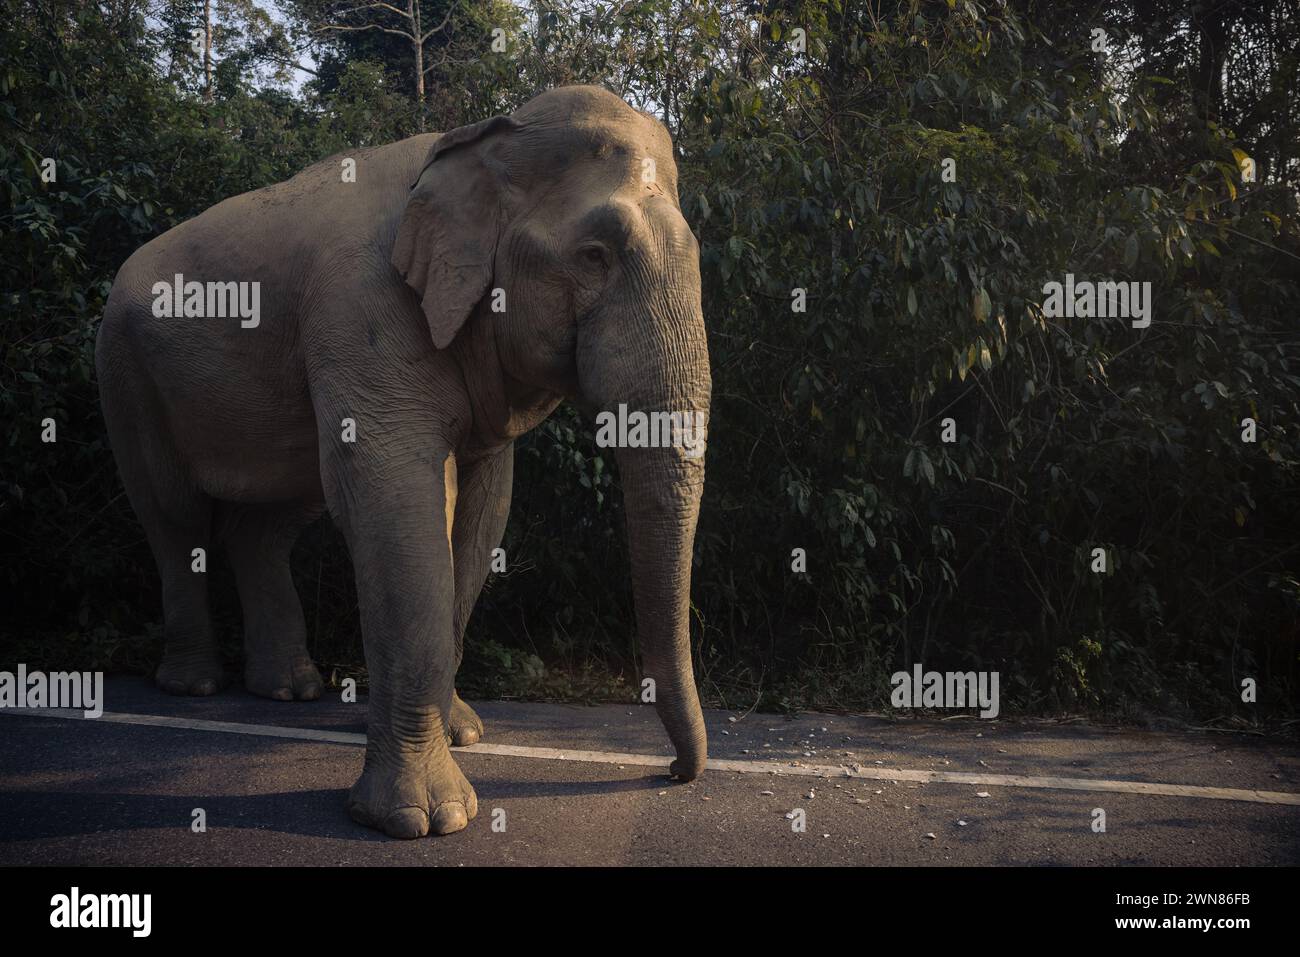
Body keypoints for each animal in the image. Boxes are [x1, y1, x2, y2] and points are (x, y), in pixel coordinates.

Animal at [94, 85, 711, 838]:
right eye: (595, 255)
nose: (671, 772)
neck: (481, 139)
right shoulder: (362, 308)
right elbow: (398, 496)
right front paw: (426, 819)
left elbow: (481, 511)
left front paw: (465, 733)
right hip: (124, 369)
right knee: (173, 514)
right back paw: (195, 684)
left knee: (266, 523)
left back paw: (291, 690)